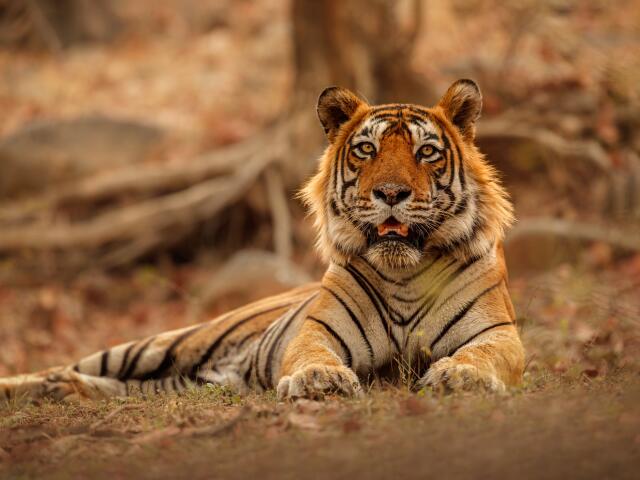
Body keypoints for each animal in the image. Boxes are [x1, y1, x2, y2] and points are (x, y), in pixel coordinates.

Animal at [0, 79, 524, 402]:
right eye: (366, 149)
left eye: (426, 152)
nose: (391, 193)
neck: (405, 274)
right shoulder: (317, 330)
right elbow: (312, 353)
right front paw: (319, 379)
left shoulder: (498, 334)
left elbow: (482, 353)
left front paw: (461, 375)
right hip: (160, 344)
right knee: (68, 365)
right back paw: (39, 387)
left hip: (186, 381)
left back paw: (66, 391)